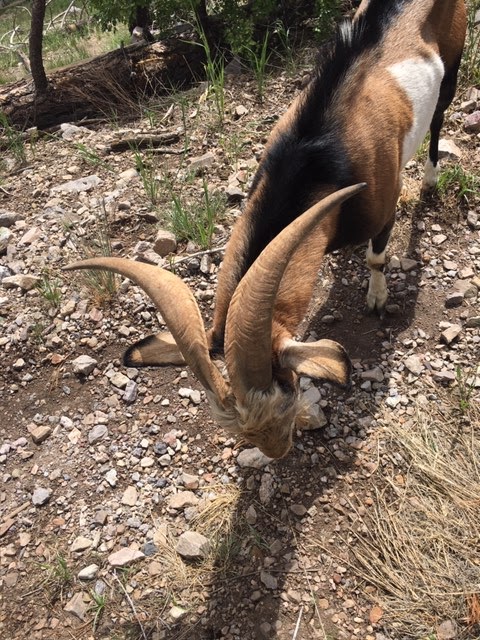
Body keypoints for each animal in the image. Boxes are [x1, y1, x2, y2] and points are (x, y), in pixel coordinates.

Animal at [65, 0, 466, 459]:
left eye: (286, 393)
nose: (277, 451)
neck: (316, 159)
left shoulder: (384, 201)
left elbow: (377, 255)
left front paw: (377, 299)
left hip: (453, 66)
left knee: (439, 118)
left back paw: (432, 179)